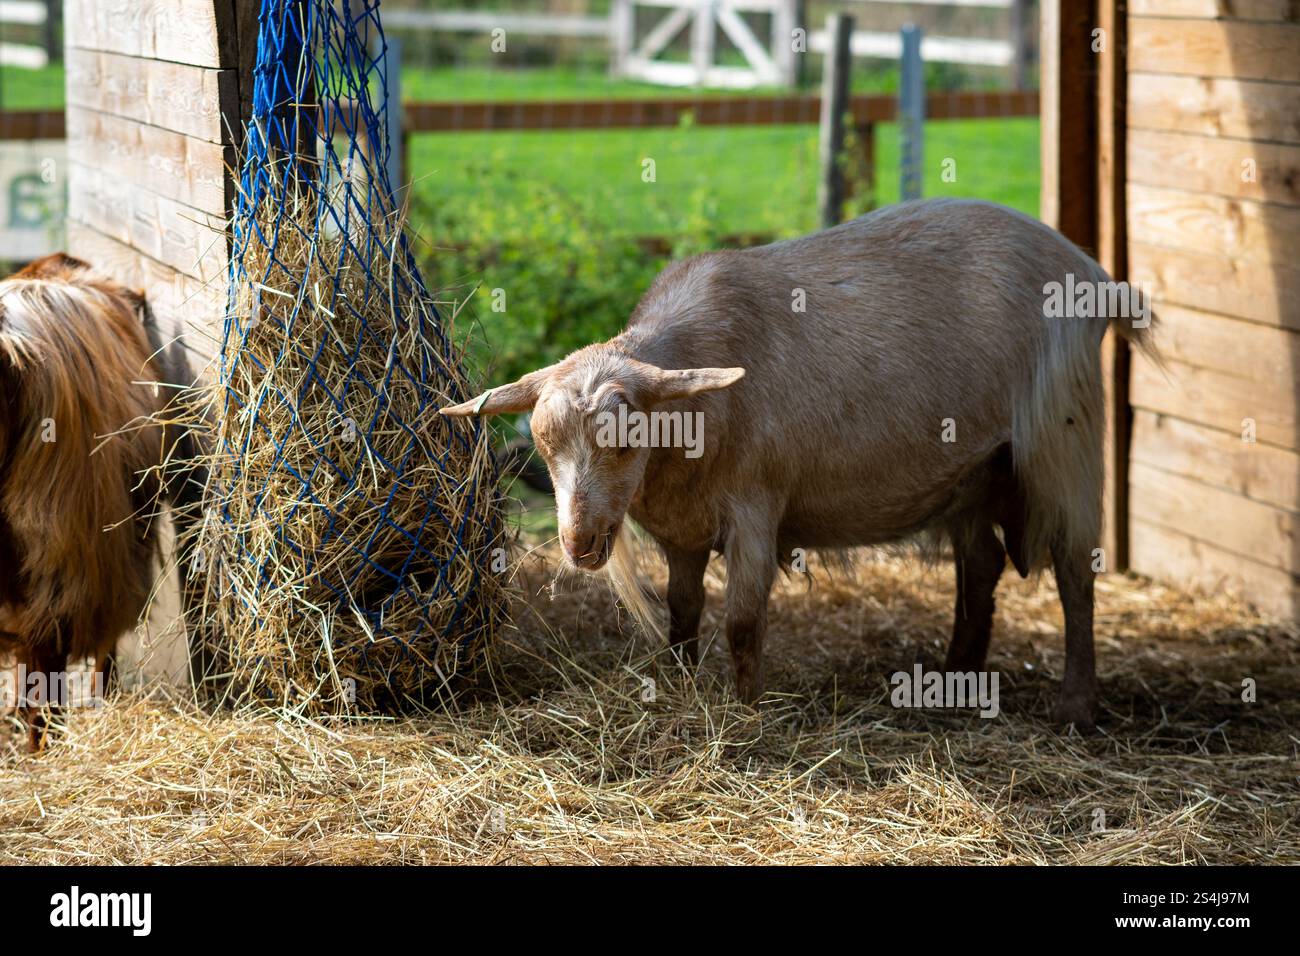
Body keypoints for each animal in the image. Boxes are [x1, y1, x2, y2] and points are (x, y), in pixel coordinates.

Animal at [442, 200, 1157, 728]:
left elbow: (742, 621)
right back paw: (955, 675)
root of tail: (1094, 275)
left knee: (1075, 573)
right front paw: (679, 687)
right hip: (977, 470)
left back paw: (1075, 707)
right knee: (980, 565)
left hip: (1061, 442)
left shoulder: (756, 507)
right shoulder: (682, 530)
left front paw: (746, 711)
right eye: (543, 443)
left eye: (624, 439)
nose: (580, 544)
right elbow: (682, 612)